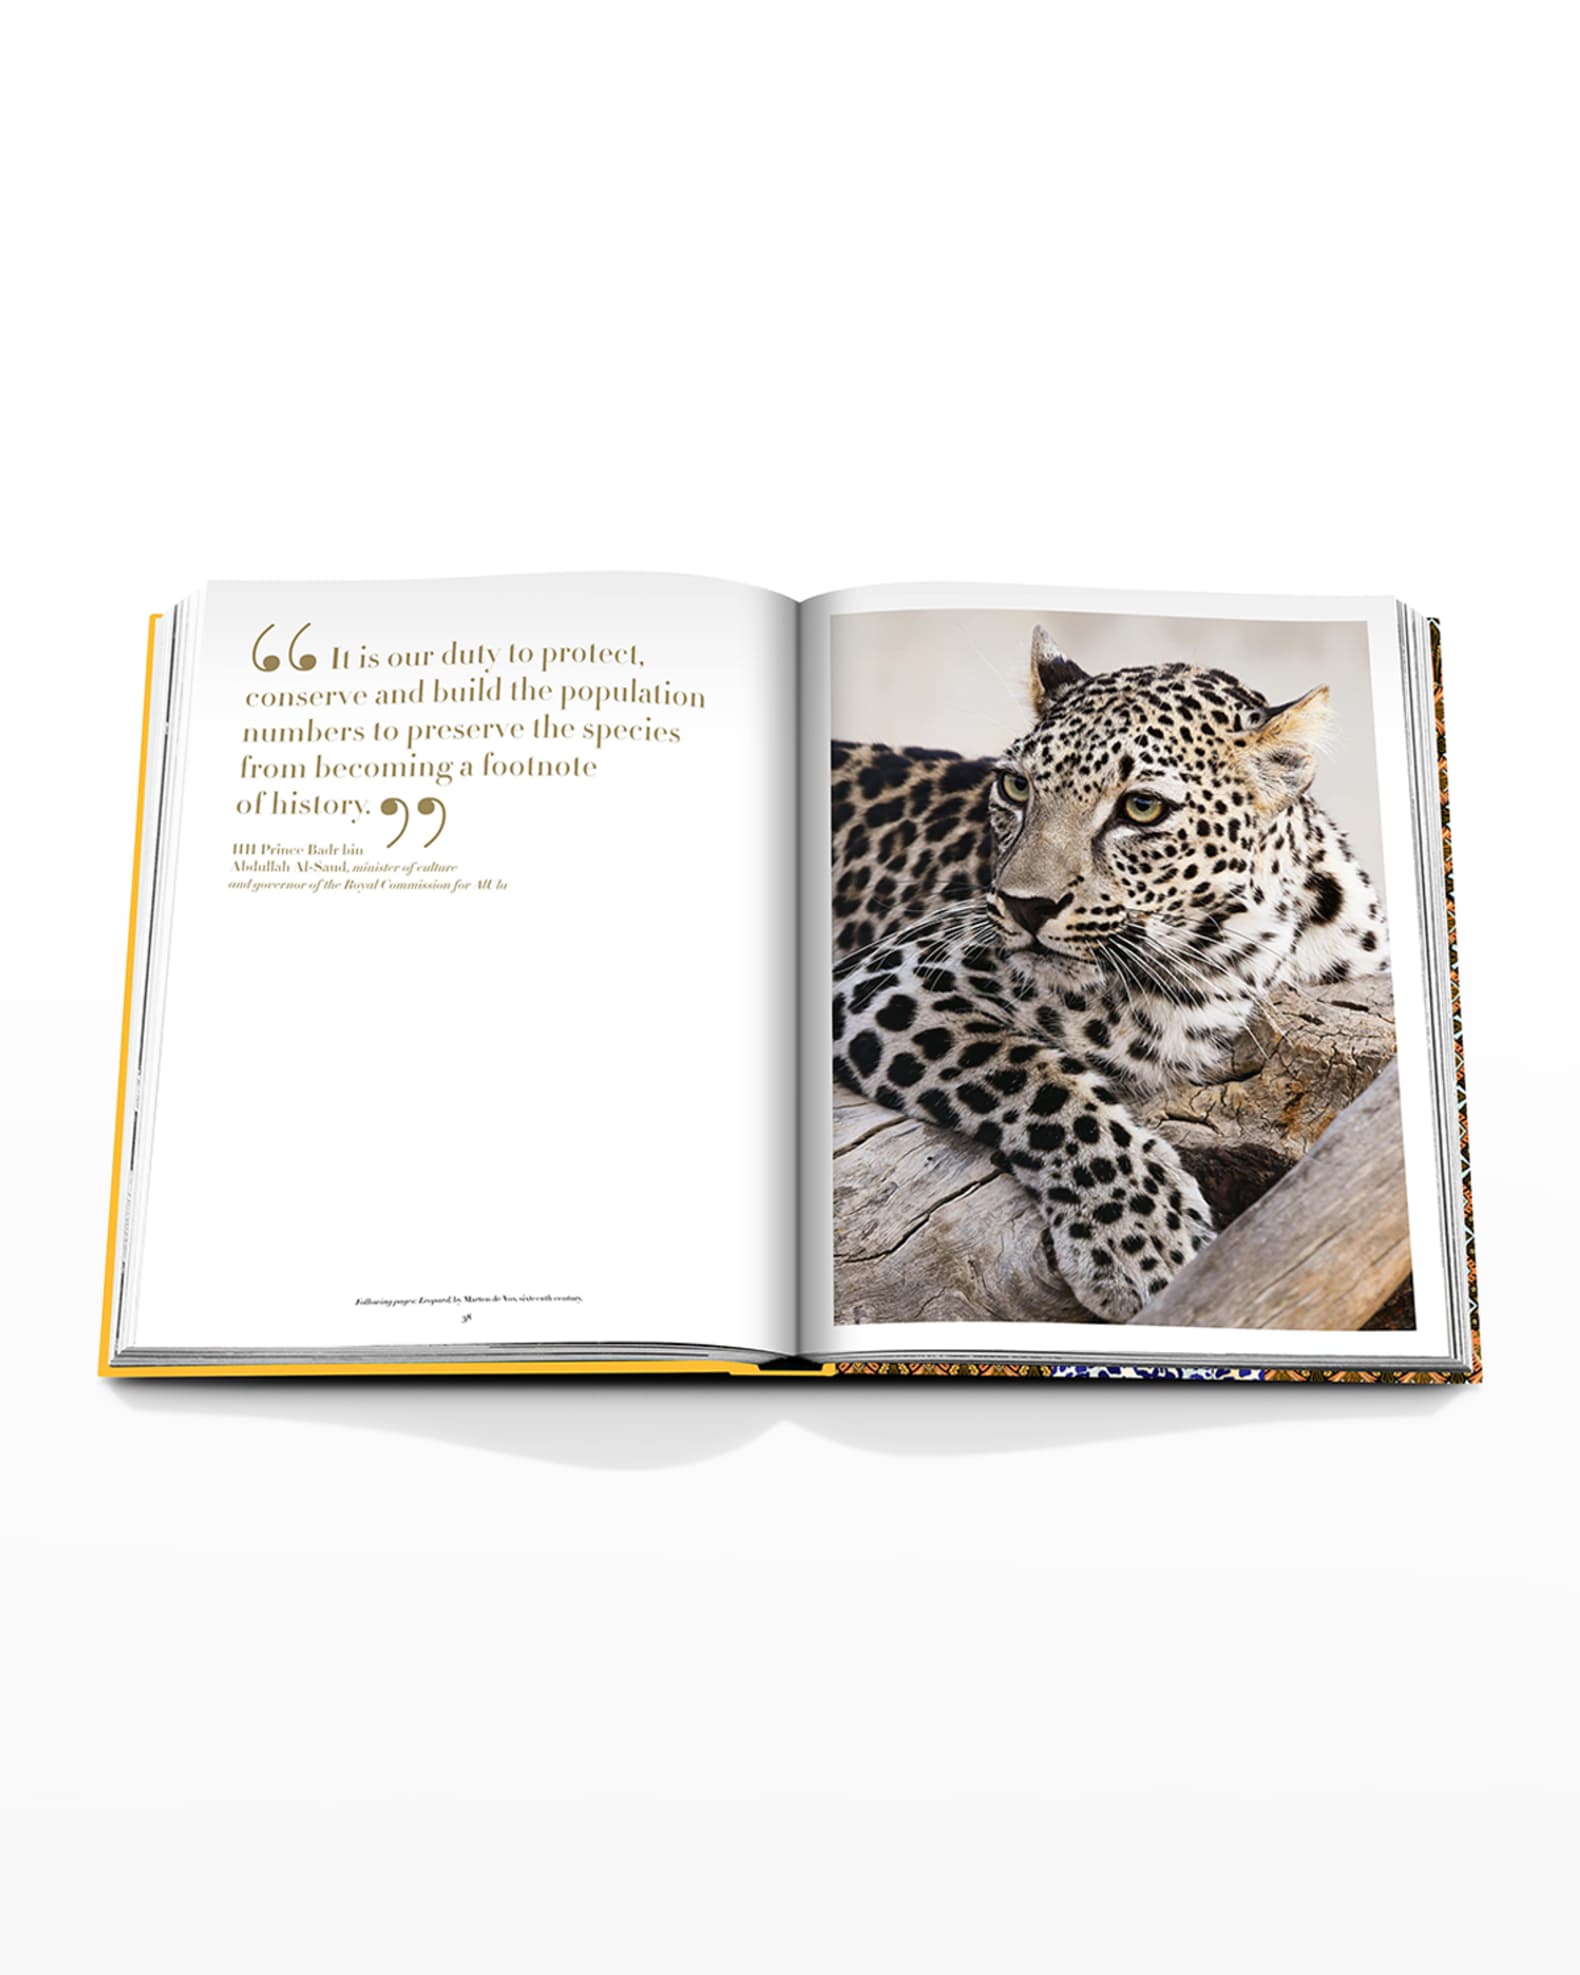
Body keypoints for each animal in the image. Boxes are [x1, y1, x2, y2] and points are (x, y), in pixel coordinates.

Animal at [831, 626, 1390, 1323]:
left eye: (1142, 808)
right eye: (1017, 788)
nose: (1025, 905)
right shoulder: (893, 978)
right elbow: (1040, 1081)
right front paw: (1143, 1241)